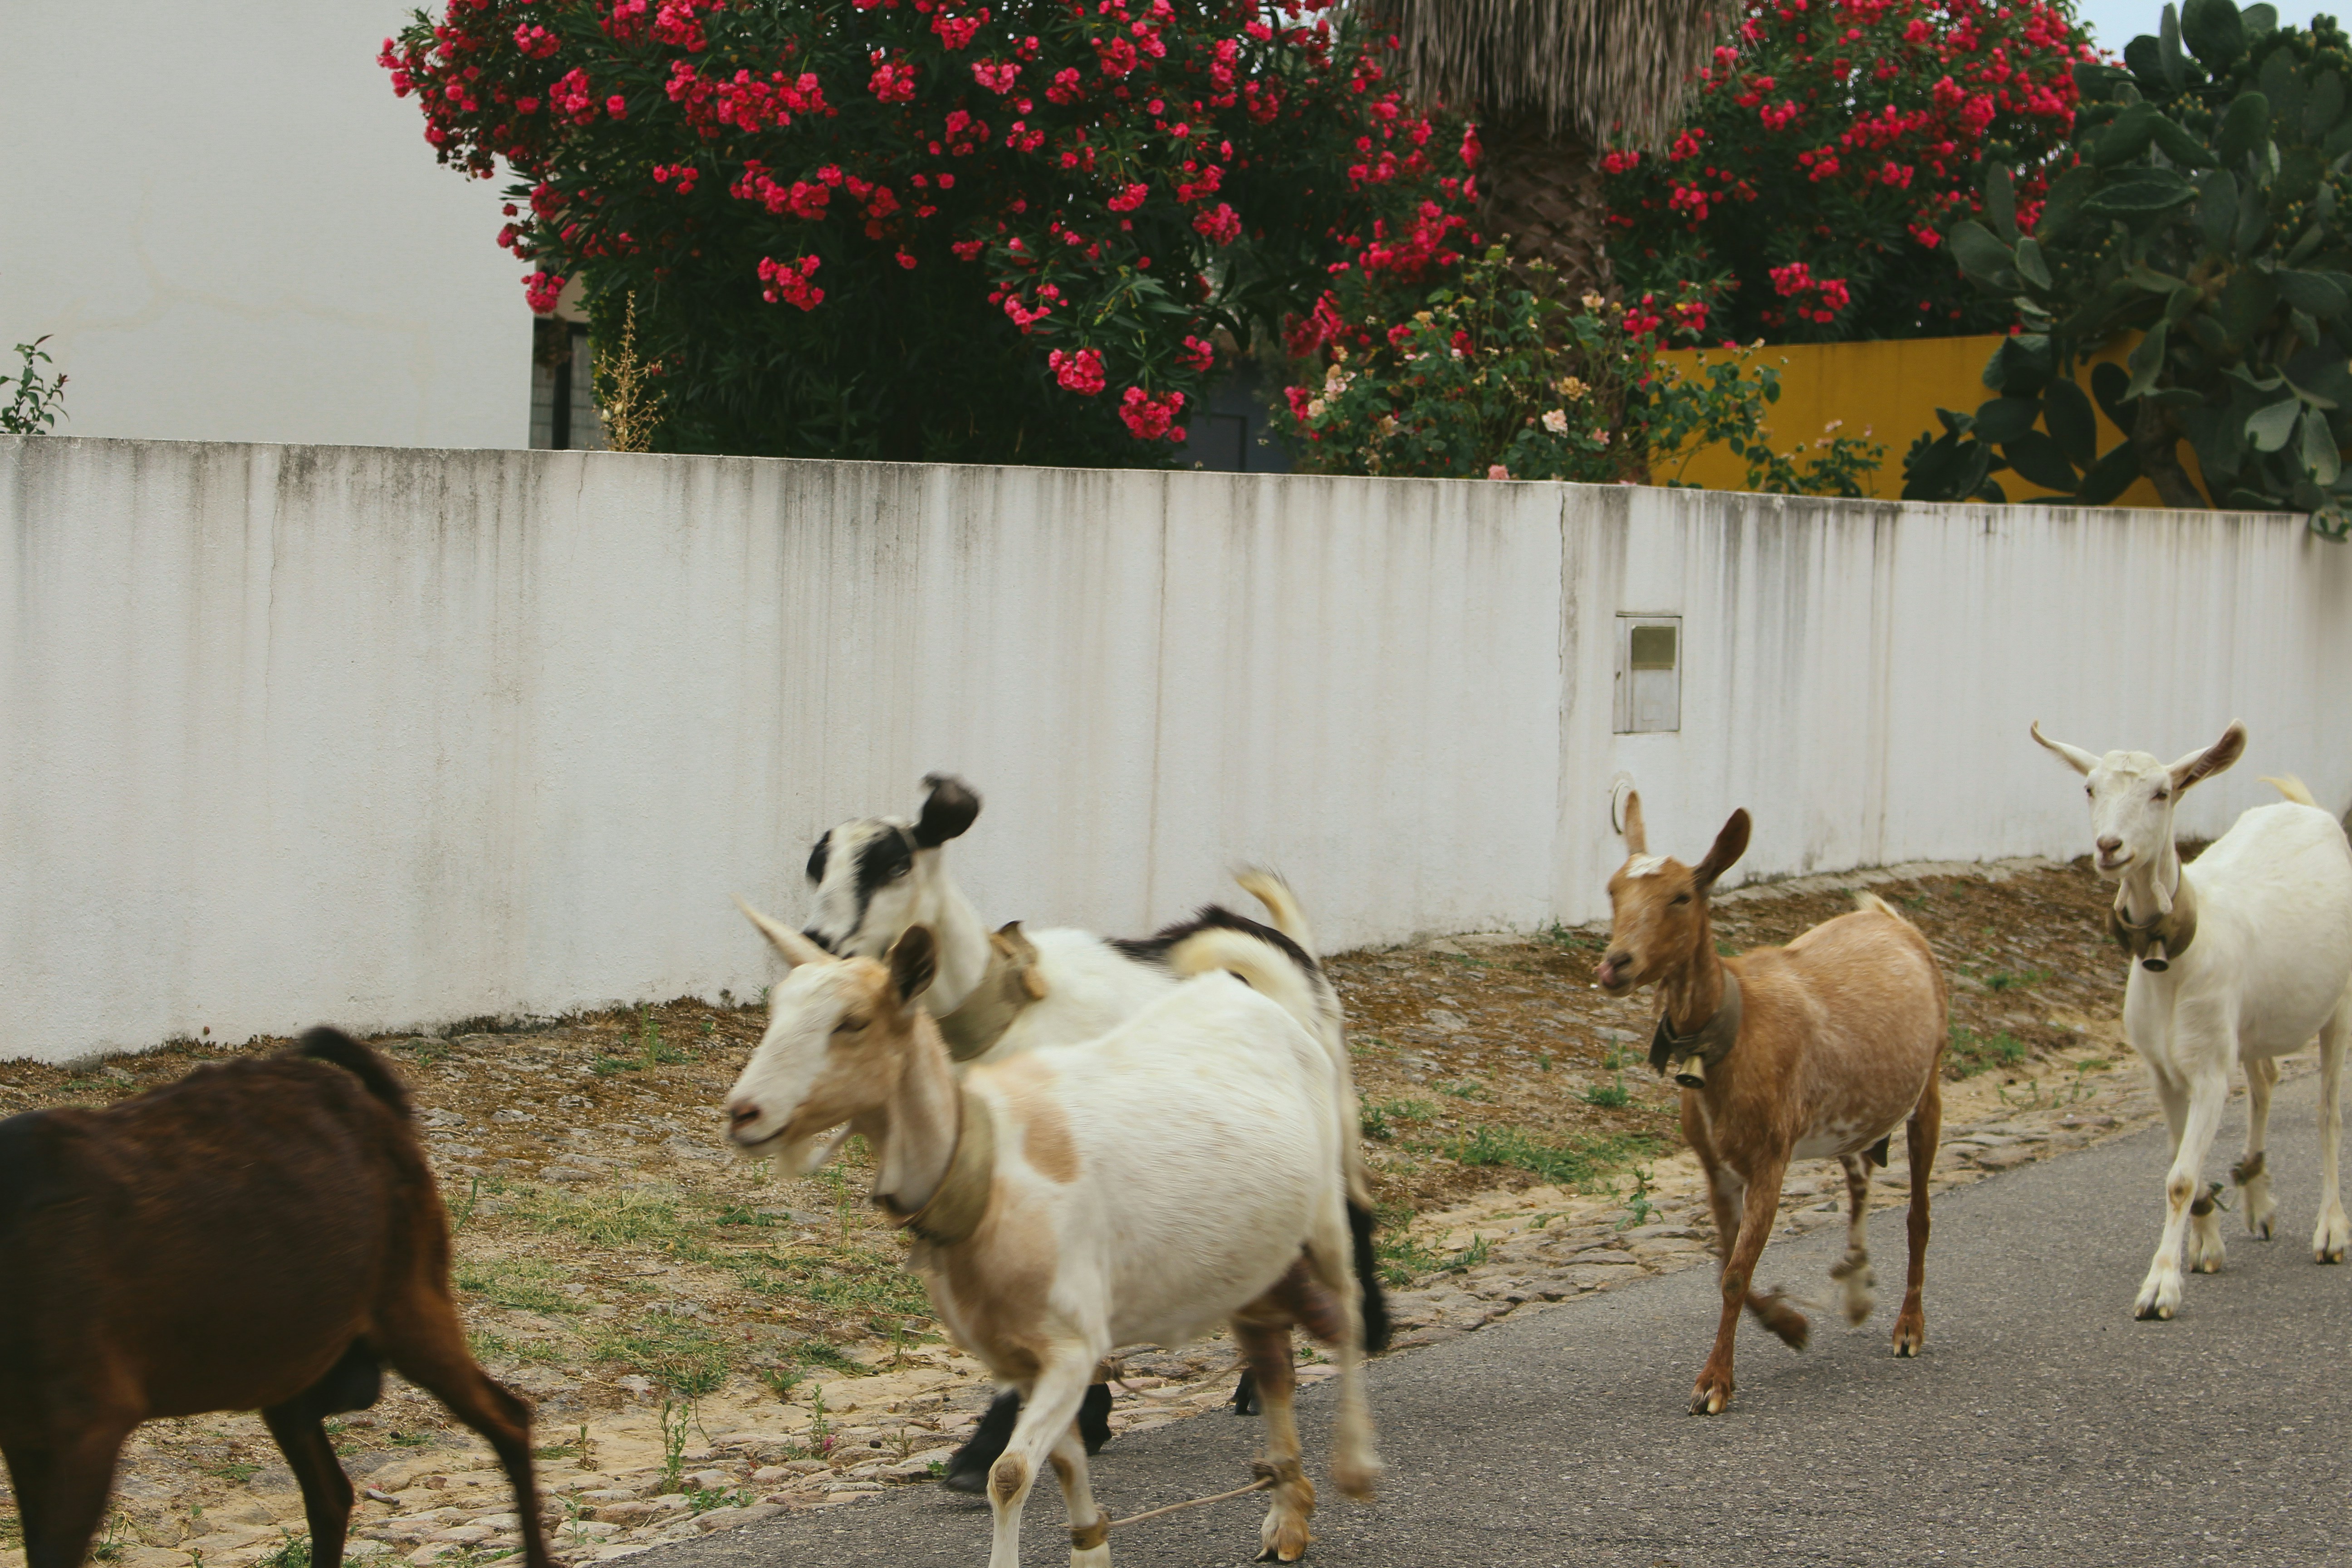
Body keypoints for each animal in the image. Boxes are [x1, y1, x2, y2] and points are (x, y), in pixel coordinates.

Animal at [0, 1029, 553, 1568]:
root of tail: (382, 1110)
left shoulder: (87, 1421)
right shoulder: (27, 1433)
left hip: (410, 1301)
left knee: (507, 1419)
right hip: (288, 1361)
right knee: (332, 1494)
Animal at [723, 905, 1380, 1567]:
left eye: (852, 1023)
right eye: (777, 1012)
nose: (743, 1113)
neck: (987, 1171)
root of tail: (1261, 998)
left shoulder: (1072, 1345)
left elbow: (1010, 1474)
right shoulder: (1021, 1361)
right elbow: (1060, 1465)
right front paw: (1090, 1549)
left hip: (1323, 1214)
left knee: (1346, 1310)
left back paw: (1353, 1467)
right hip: (1248, 1259)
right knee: (1274, 1364)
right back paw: (1286, 1513)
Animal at [797, 775, 1387, 1489]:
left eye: (893, 864)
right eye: (816, 864)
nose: (820, 939)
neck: (1012, 1011)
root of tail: (1285, 946)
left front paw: (1003, 1442)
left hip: (1324, 1117)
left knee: (1347, 1213)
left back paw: (1349, 1340)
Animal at [1595, 792, 1948, 1415]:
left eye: (1682, 896)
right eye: (1613, 889)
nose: (1616, 965)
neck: (1734, 1033)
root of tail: (1893, 919)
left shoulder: (1771, 1154)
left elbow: (1736, 1271)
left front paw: (1714, 1384)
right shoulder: (1715, 1161)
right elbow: (1724, 1263)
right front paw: (1791, 1326)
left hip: (1928, 1084)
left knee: (1919, 1213)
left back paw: (1908, 1327)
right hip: (1850, 1113)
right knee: (1860, 1178)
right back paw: (1855, 1287)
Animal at [2031, 720, 2352, 1319]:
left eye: (2163, 792)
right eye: (2089, 788)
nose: (2109, 847)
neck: (2175, 954)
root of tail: (2309, 809)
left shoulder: (2207, 1072)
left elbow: (2179, 1177)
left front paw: (2160, 1287)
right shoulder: (2163, 1071)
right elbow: (2185, 1166)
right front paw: (2206, 1246)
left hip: (2338, 1007)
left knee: (2328, 1114)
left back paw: (2331, 1231)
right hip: (2249, 1026)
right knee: (2266, 1079)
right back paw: (2255, 1189)